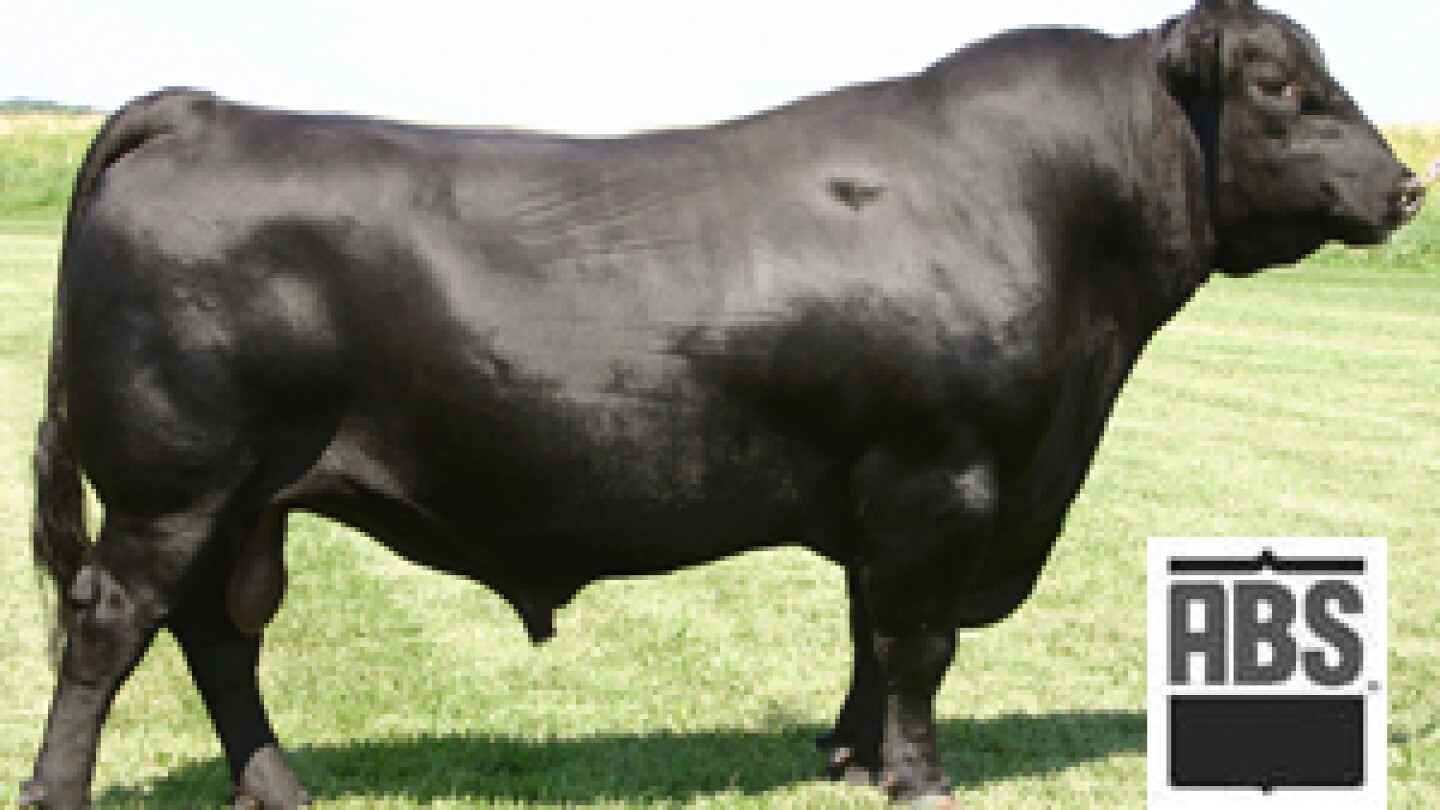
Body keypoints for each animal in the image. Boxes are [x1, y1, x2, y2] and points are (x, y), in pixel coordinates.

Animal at [20, 1, 1423, 807]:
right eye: (1284, 90)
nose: (1410, 187)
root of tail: (202, 112)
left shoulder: (889, 492)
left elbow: (869, 635)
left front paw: (849, 757)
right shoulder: (944, 476)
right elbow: (919, 644)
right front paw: (918, 781)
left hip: (240, 499)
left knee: (216, 636)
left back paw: (278, 787)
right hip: (172, 486)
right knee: (108, 627)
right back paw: (59, 788)